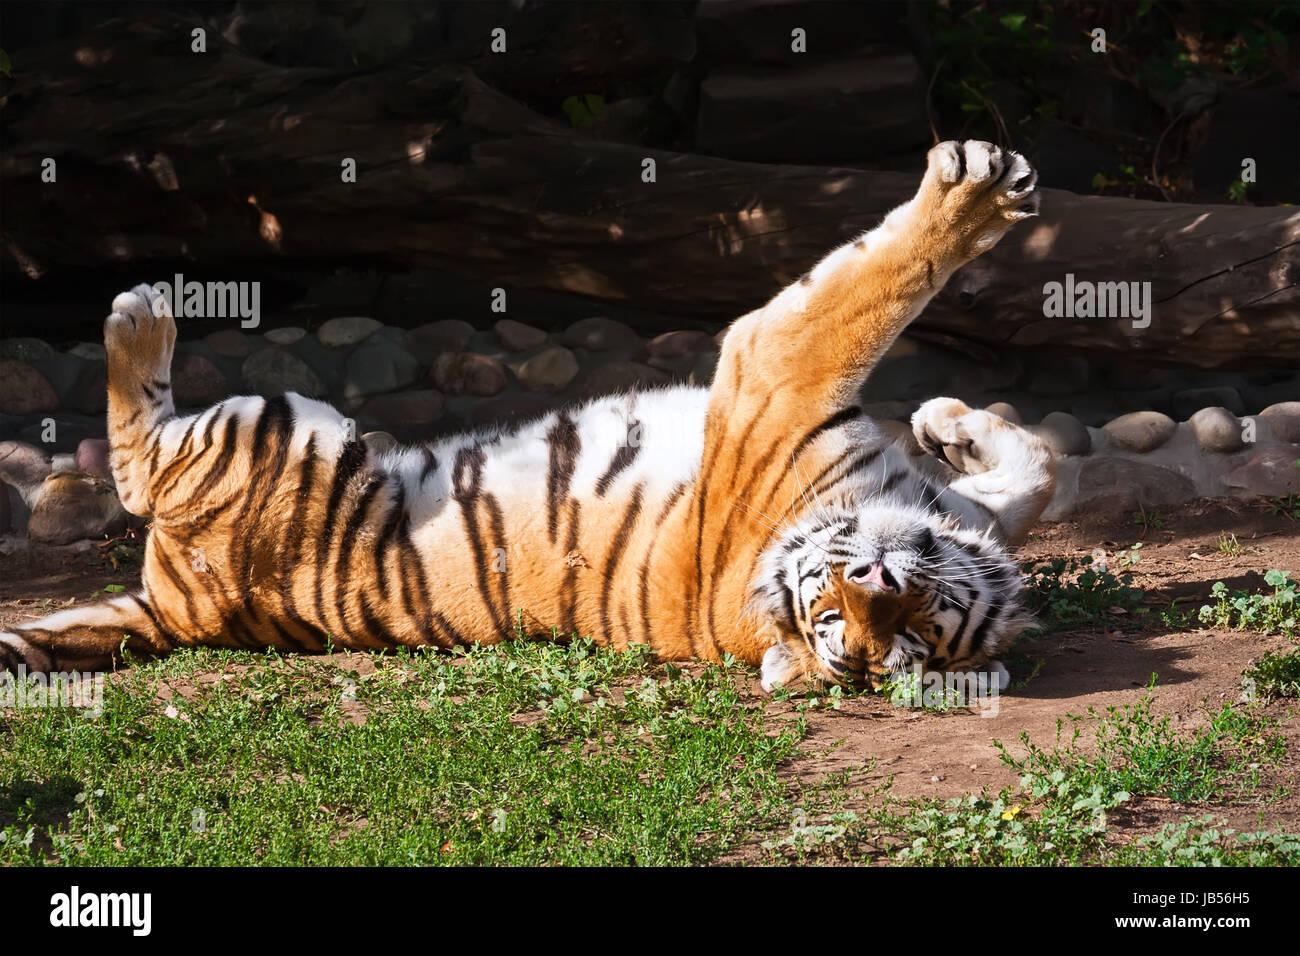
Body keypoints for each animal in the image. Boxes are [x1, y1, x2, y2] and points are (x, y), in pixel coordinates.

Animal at [0, 140, 1054, 693]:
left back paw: (139, 316)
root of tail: (179, 612)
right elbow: (890, 293)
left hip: (279, 430)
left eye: (907, 629)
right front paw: (953, 403)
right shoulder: (780, 367)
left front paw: (955, 416)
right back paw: (141, 313)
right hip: (287, 421)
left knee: (144, 468)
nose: (876, 574)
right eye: (834, 612)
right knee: (136, 462)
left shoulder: (784, 380)